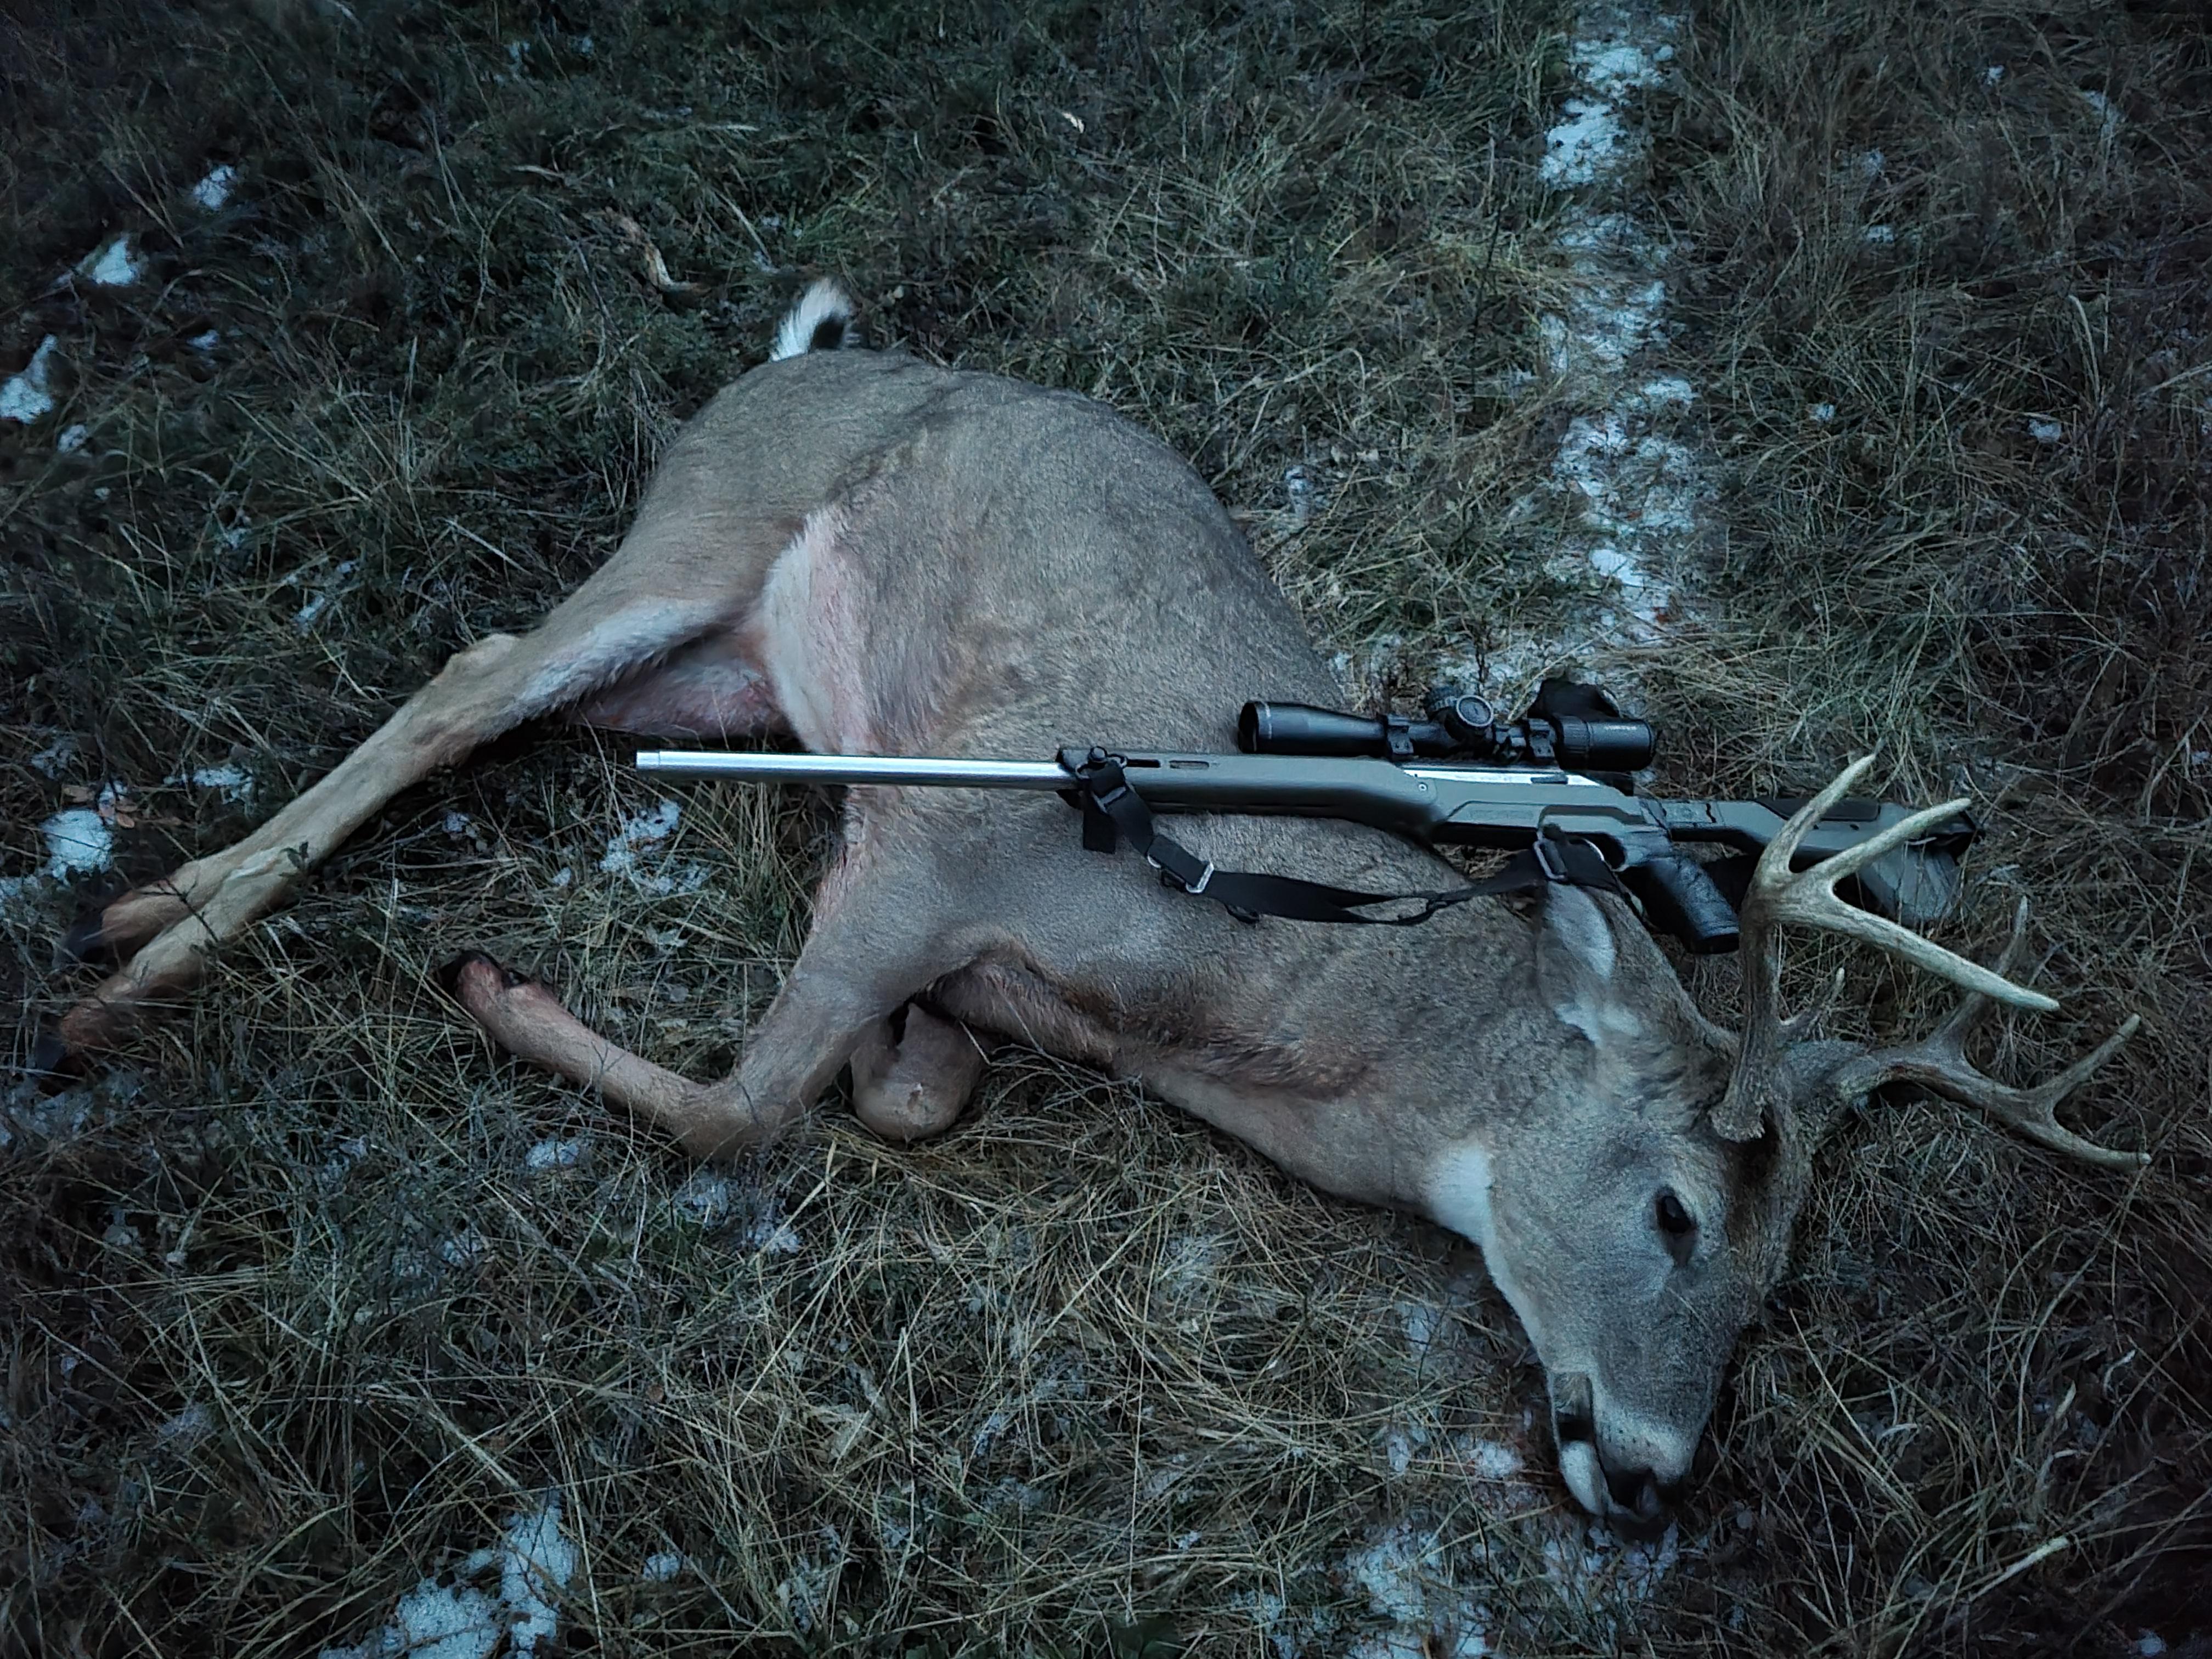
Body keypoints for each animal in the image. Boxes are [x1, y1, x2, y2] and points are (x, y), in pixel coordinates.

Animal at [44, 281, 2145, 1535]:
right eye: (1678, 1208)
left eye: (1782, 1291)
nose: (1650, 1476)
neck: (1254, 1004)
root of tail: (801, 349)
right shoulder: (925, 841)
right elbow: (740, 1111)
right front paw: (490, 987)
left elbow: (912, 1091)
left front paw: (909, 1054)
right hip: (691, 538)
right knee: (474, 673)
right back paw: (129, 973)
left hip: (726, 668)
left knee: (490, 694)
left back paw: (138, 906)